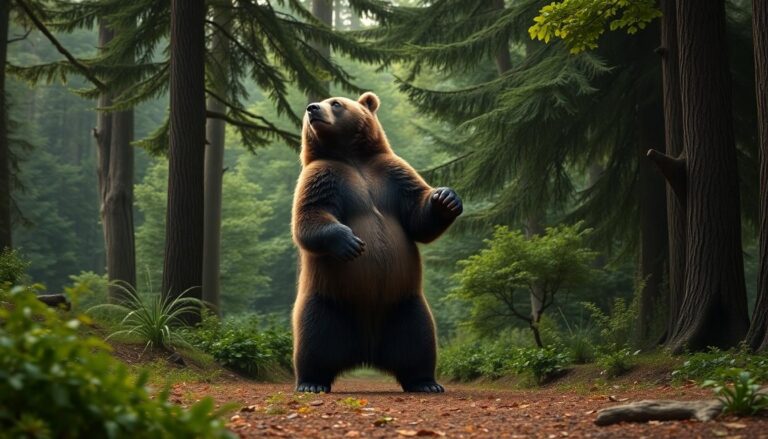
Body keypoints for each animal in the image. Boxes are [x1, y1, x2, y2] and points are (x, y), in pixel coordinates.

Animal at [291, 92, 463, 393]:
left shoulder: (391, 174)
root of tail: (366, 351)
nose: (312, 109)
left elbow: (417, 216)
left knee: (418, 341)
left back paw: (426, 383)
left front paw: (446, 198)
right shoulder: (323, 176)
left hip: (403, 304)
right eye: (314, 104)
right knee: (314, 339)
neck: (351, 158)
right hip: (328, 300)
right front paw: (349, 242)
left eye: (336, 103)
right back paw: (311, 382)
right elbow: (310, 215)